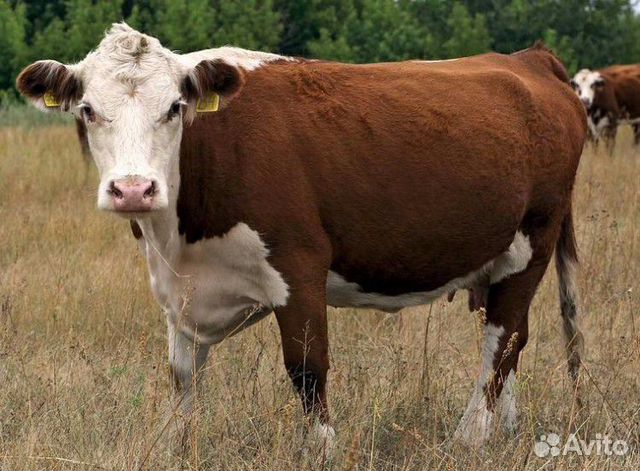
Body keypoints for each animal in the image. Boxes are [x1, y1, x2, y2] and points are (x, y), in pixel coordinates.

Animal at [17, 24, 587, 452]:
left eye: (175, 107)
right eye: (88, 109)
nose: (133, 189)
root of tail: (529, 59)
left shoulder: (299, 268)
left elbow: (308, 368)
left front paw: (323, 450)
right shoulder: (180, 291)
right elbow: (182, 375)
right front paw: (179, 445)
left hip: (532, 243)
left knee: (503, 340)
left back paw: (469, 438)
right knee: (507, 342)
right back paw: (504, 431)